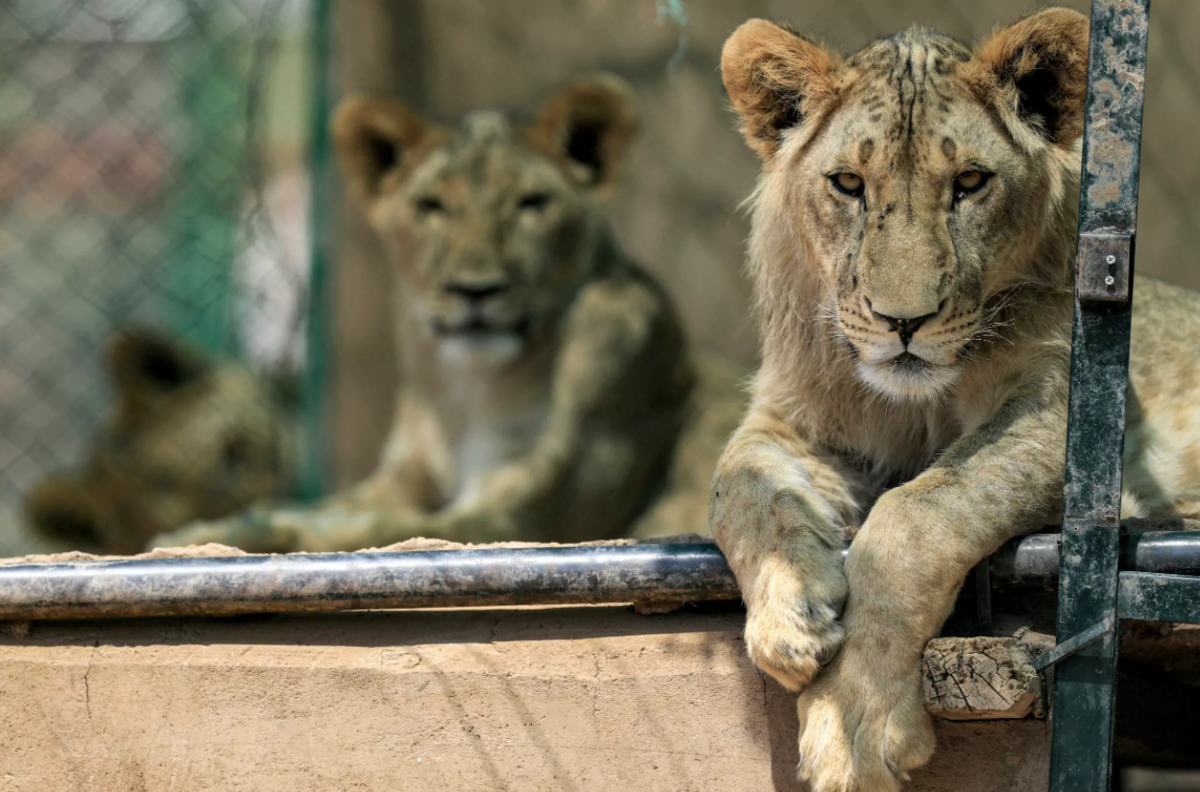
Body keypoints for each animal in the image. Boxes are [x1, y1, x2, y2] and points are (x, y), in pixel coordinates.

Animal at [149, 75, 744, 553]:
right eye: (431, 206)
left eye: (531, 203)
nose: (473, 290)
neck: (473, 391)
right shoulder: (402, 480)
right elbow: (326, 509)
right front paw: (223, 524)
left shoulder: (526, 515)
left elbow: (377, 529)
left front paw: (212, 534)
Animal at [710, 9, 1200, 792]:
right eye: (848, 182)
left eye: (969, 181)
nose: (902, 321)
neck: (913, 404)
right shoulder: (797, 419)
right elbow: (737, 483)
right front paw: (791, 619)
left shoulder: (1071, 422)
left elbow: (917, 513)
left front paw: (852, 722)